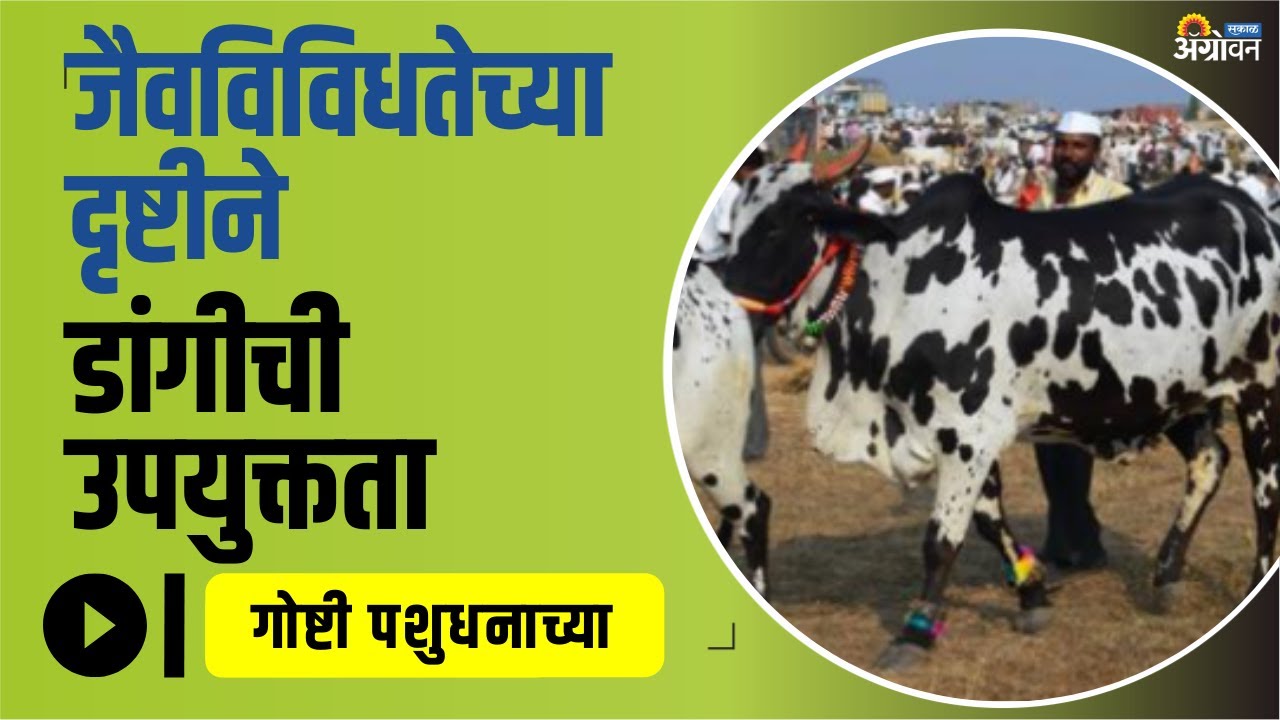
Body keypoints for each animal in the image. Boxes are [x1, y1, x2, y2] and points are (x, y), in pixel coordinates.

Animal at [716, 147, 1280, 670]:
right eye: (736, 221)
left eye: (780, 224)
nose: (725, 297)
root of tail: (1253, 212)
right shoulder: (960, 432)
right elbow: (989, 522)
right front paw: (1032, 594)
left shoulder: (967, 434)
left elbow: (941, 539)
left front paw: (914, 633)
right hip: (1171, 394)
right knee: (1209, 460)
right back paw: (1165, 576)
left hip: (1260, 389)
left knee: (1264, 491)